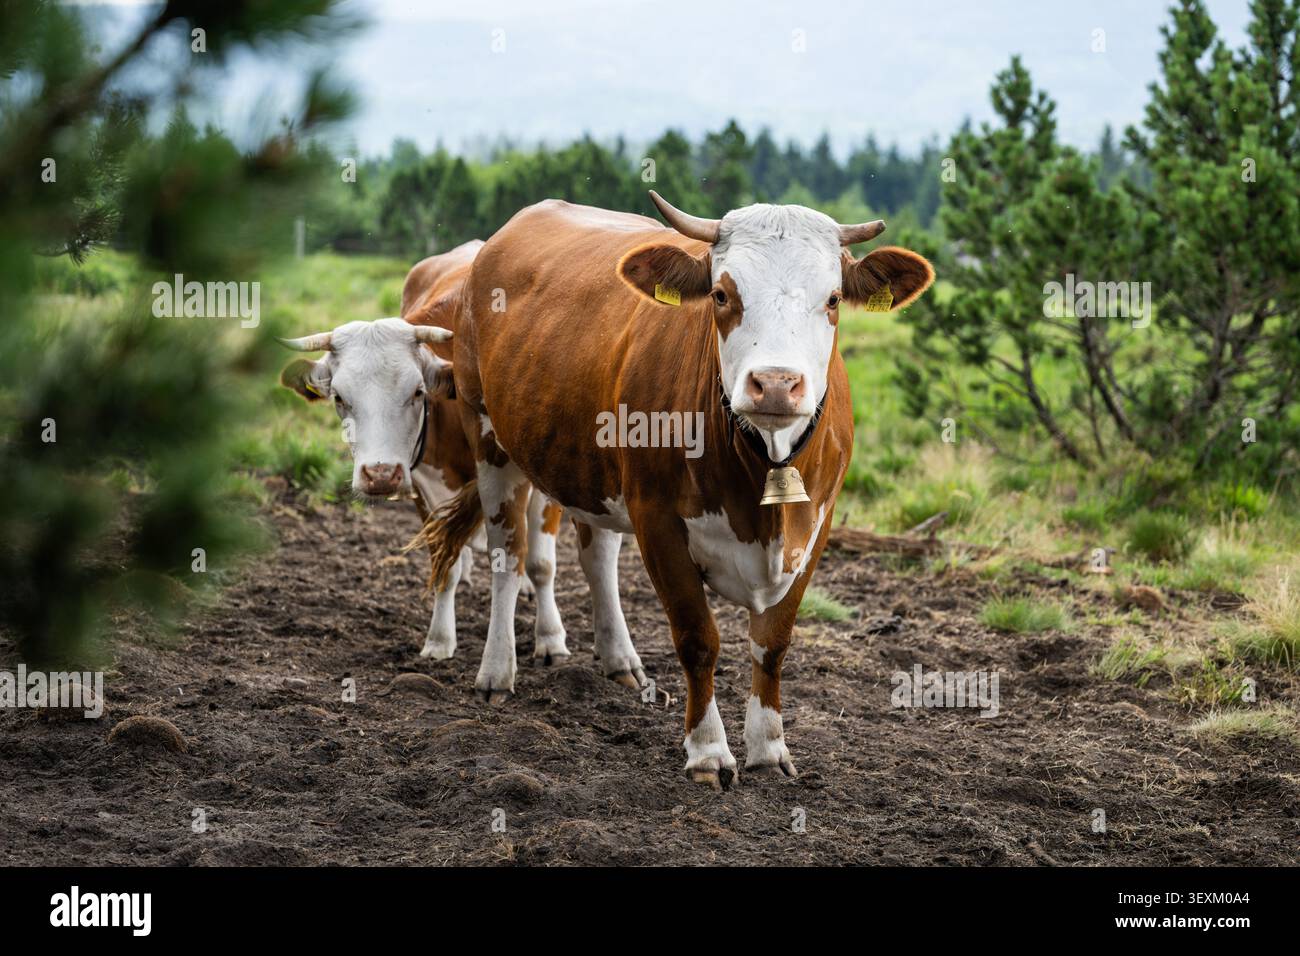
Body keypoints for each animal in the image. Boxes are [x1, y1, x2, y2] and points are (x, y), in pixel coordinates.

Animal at [423, 195, 933, 788]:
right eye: (722, 294)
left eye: (832, 299)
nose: (776, 384)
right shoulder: (658, 519)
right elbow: (698, 639)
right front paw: (709, 750)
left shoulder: (815, 530)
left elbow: (773, 643)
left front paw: (769, 746)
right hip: (488, 436)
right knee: (509, 554)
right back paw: (496, 671)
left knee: (597, 556)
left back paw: (618, 659)